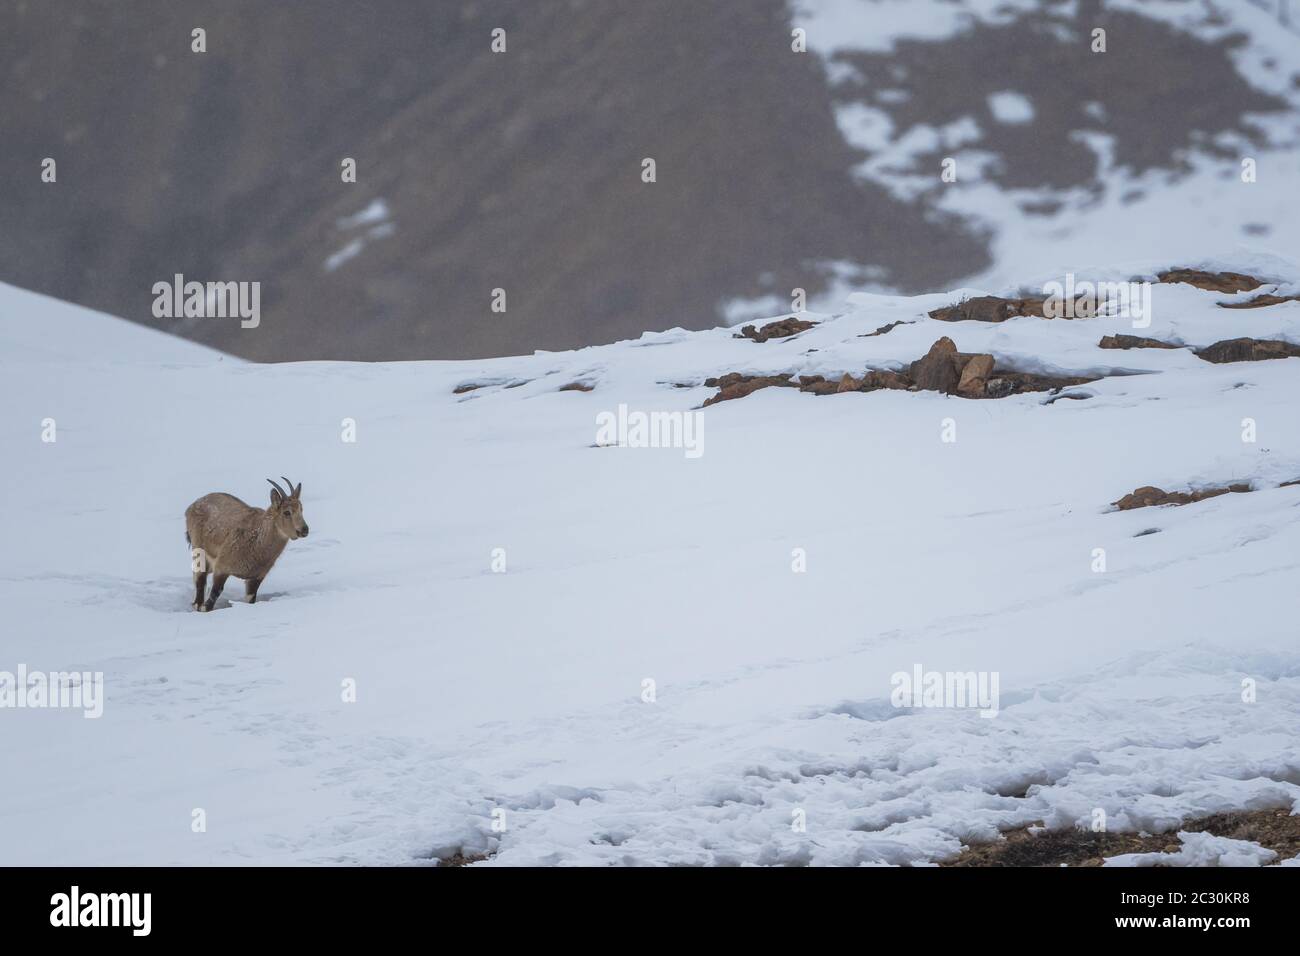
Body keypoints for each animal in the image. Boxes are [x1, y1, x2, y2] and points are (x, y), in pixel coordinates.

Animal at [185, 477, 309, 611]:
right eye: (286, 512)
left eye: (301, 509)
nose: (304, 530)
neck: (257, 543)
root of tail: (192, 506)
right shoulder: (221, 567)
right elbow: (212, 598)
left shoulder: (256, 578)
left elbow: (250, 599)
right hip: (198, 551)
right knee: (200, 581)